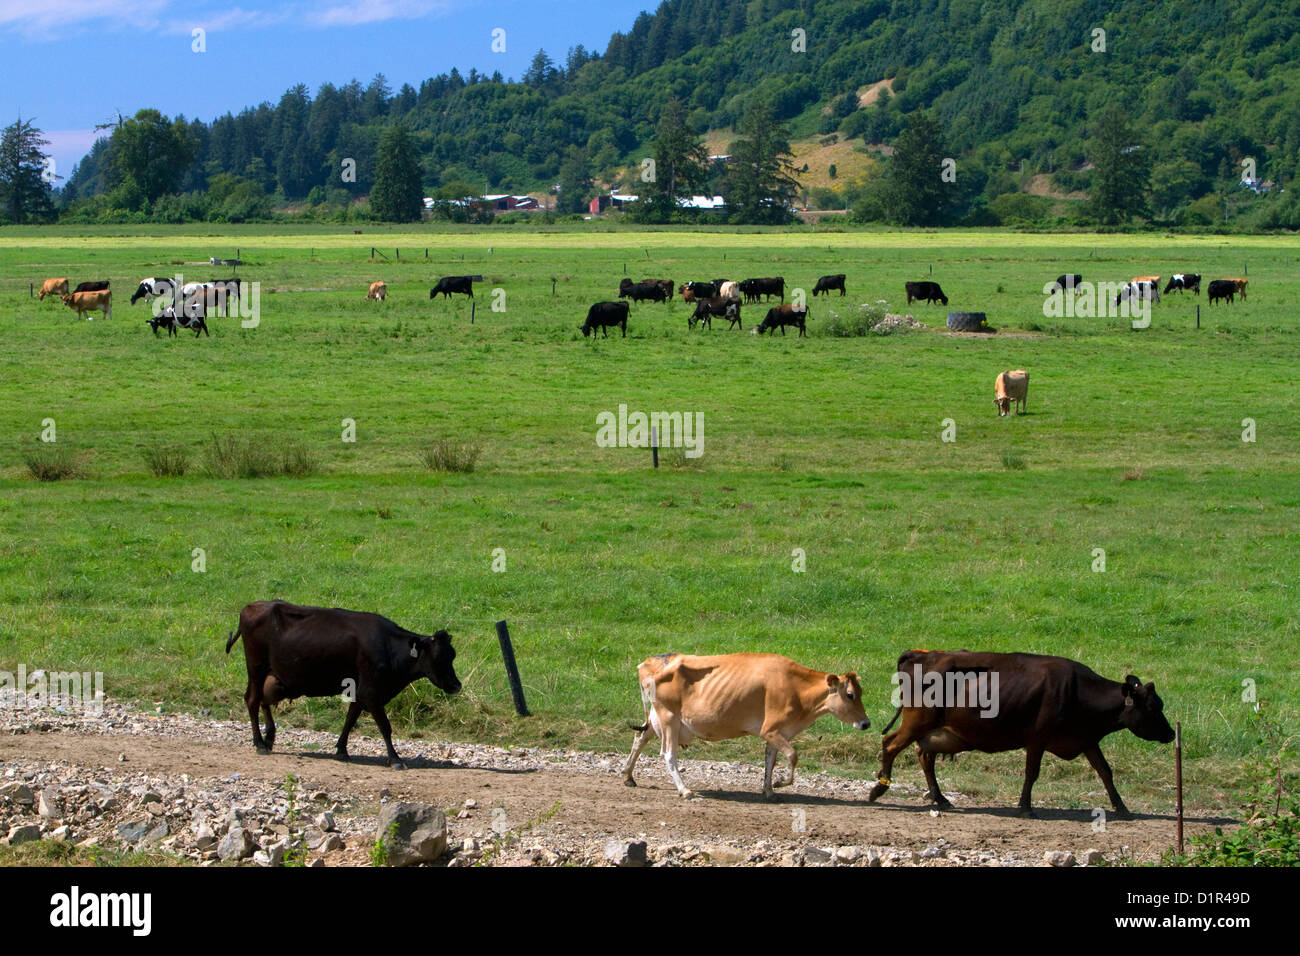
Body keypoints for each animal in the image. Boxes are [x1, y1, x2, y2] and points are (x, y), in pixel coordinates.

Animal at [226, 601, 461, 770]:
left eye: (453, 655)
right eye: (439, 658)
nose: (456, 685)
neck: (388, 647)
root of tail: (251, 606)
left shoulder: (359, 690)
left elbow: (350, 718)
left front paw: (341, 750)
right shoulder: (371, 691)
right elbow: (385, 726)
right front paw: (395, 759)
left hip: (270, 675)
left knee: (262, 700)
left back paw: (269, 738)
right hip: (256, 667)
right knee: (253, 700)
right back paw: (260, 743)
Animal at [622, 652, 870, 800]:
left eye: (861, 692)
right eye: (850, 694)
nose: (866, 723)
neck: (796, 688)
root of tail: (652, 661)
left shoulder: (778, 732)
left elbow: (770, 761)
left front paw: (769, 790)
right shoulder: (770, 729)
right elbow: (793, 756)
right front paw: (781, 783)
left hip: (657, 718)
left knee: (640, 738)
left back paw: (628, 776)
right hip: (669, 718)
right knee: (668, 754)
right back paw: (685, 790)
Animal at [868, 649, 1175, 818]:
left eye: (1159, 703)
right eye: (1152, 706)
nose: (1171, 734)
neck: (1077, 692)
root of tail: (923, 654)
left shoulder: (1087, 739)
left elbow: (1105, 772)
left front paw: (1122, 808)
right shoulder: (1037, 738)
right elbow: (1031, 773)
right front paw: (1025, 806)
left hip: (939, 732)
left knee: (924, 756)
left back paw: (940, 798)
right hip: (917, 721)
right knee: (891, 744)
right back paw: (879, 788)